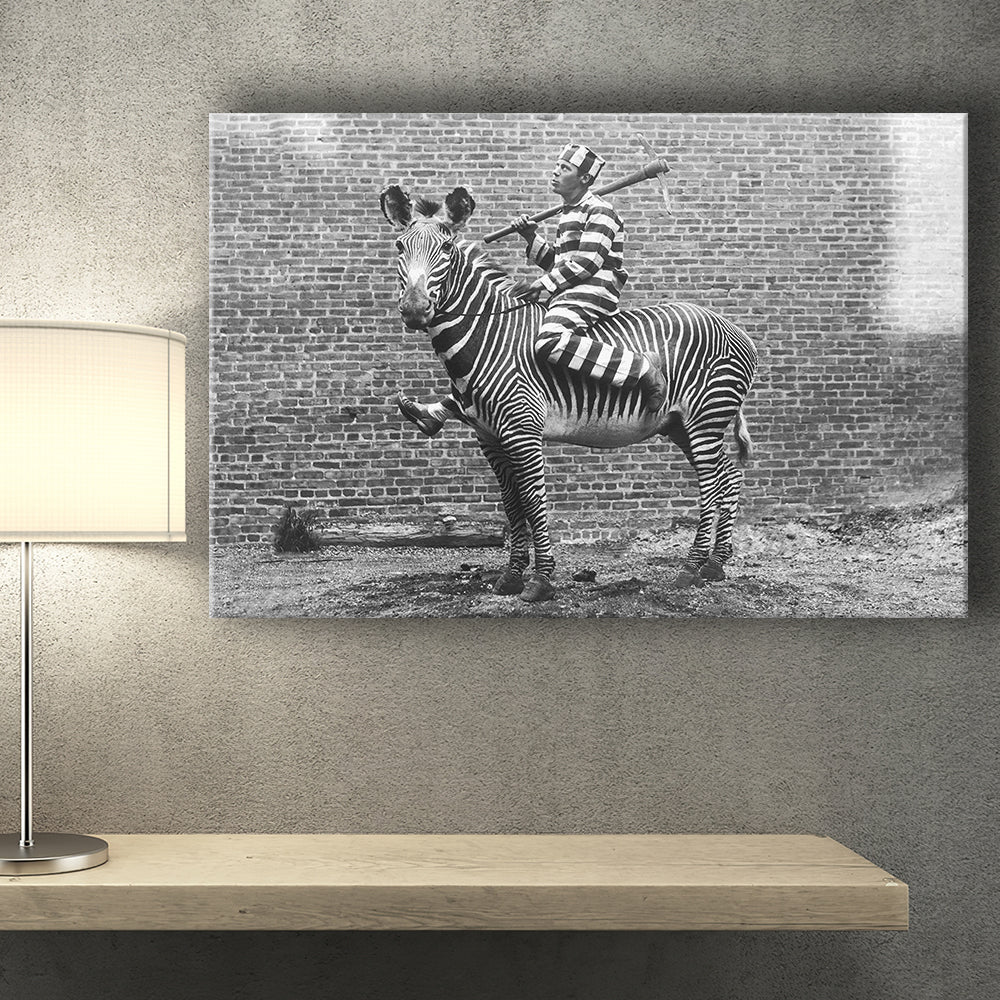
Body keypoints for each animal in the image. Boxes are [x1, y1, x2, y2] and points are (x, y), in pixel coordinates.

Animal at [380, 184, 758, 603]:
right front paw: (511, 577)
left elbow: (533, 499)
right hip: (681, 425)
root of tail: (732, 327)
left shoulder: (522, 430)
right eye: (399, 245)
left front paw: (541, 579)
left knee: (712, 484)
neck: (488, 336)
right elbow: (511, 505)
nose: (415, 310)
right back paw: (715, 564)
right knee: (729, 478)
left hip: (705, 418)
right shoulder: (489, 437)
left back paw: (691, 568)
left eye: (446, 249)